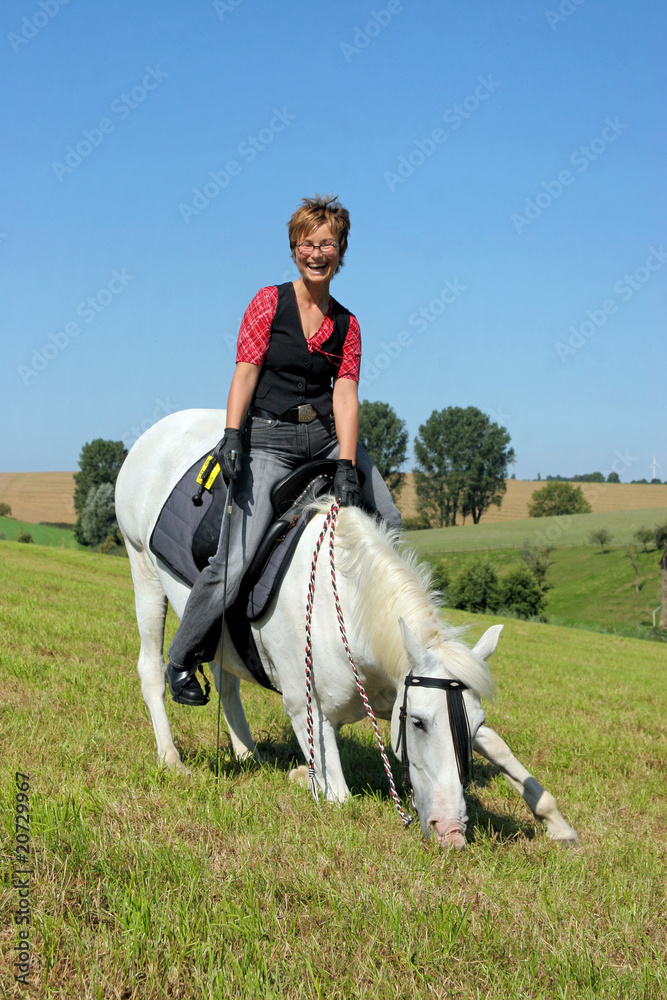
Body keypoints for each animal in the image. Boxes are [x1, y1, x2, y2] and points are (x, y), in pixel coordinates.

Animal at [115, 409, 579, 848]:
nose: (451, 831)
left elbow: (508, 756)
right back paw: (172, 758)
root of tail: (159, 430)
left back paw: (249, 755)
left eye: (474, 725)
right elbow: (338, 797)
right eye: (418, 723)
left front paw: (558, 825)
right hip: (144, 573)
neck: (346, 614)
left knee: (227, 680)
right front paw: (303, 777)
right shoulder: (305, 708)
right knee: (152, 669)